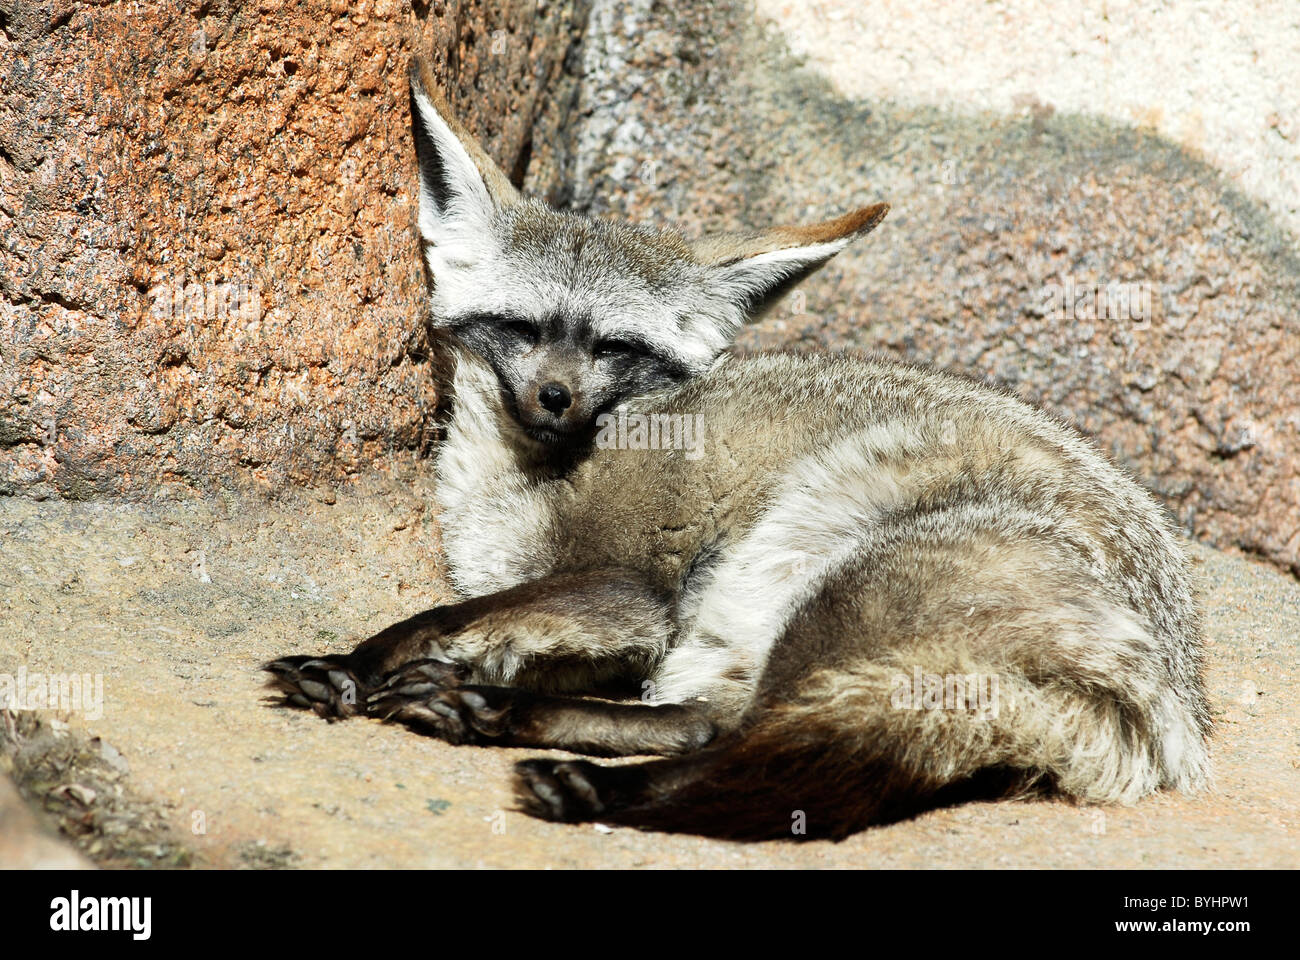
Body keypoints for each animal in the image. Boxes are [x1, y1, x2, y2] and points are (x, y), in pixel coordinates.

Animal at [264, 56, 1211, 840]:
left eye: (614, 346)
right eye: (525, 328)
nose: (555, 399)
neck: (523, 484)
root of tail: (1174, 709)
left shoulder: (632, 594)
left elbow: (439, 618)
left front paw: (349, 664)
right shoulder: (631, 636)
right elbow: (499, 635)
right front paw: (451, 679)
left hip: (832, 592)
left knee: (764, 752)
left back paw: (593, 787)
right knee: (708, 722)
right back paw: (493, 715)